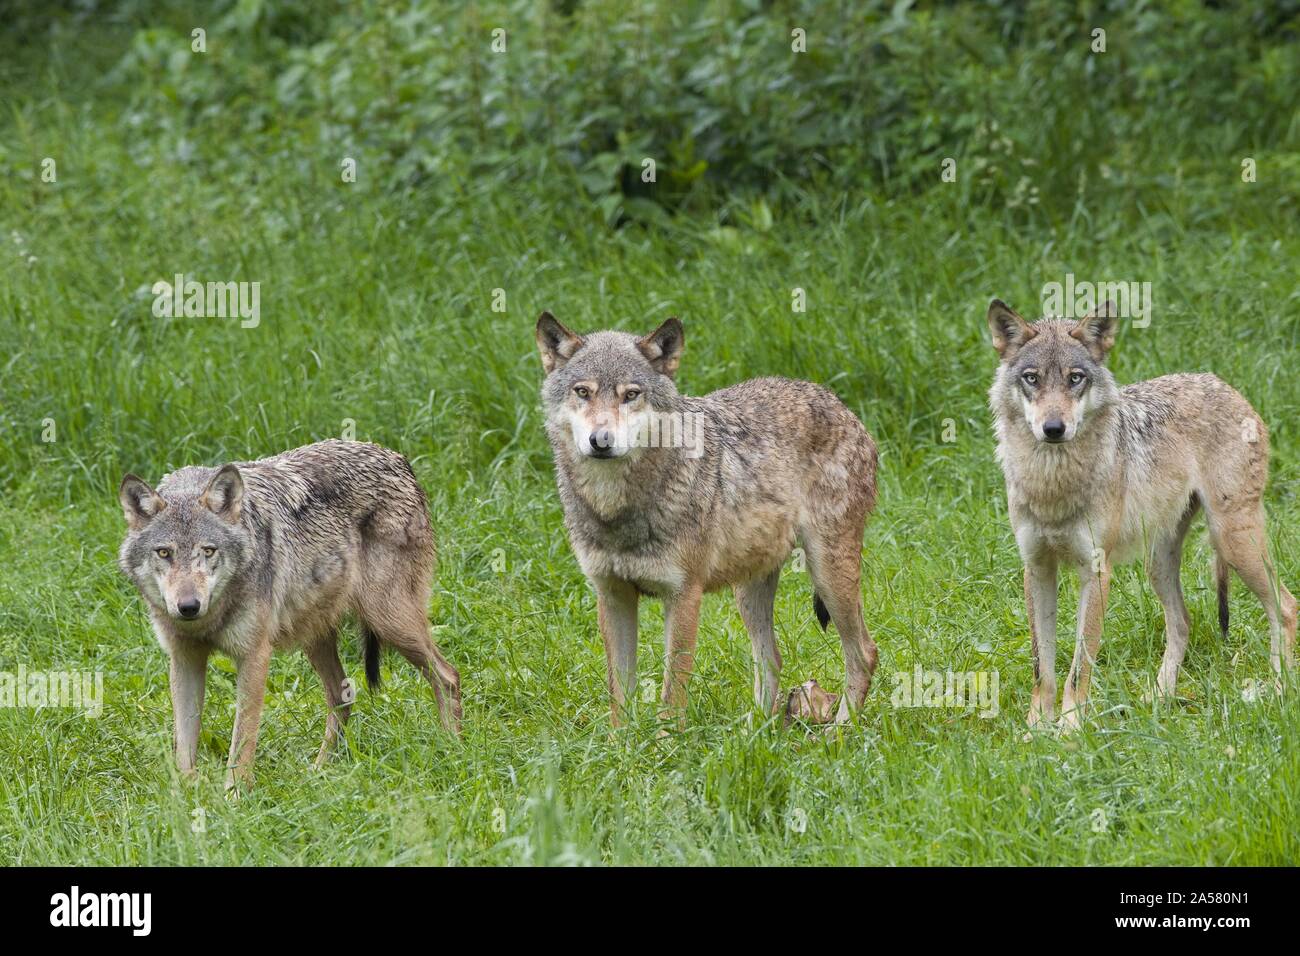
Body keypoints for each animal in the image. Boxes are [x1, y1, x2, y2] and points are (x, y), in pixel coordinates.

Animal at [118, 439, 461, 788]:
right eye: (164, 553)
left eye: (208, 551)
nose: (188, 607)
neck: (210, 618)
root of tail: (398, 458)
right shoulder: (184, 658)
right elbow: (184, 747)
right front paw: (186, 795)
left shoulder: (254, 656)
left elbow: (242, 743)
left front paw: (233, 796)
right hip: (316, 636)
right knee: (343, 696)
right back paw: (319, 773)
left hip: (390, 623)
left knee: (448, 677)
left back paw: (452, 750)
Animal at [536, 312, 879, 728]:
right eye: (582, 392)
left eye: (631, 394)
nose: (601, 440)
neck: (619, 508)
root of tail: (842, 406)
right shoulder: (613, 594)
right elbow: (620, 695)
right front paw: (621, 744)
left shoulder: (684, 595)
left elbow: (672, 694)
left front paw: (666, 743)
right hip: (749, 589)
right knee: (772, 658)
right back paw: (754, 733)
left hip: (828, 574)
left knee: (864, 652)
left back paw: (839, 731)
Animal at [986, 298, 1296, 731]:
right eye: (1032, 379)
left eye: (1075, 379)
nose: (1053, 428)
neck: (1052, 484)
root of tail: (1226, 386)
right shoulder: (1037, 568)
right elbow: (1041, 665)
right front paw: (1035, 729)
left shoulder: (1096, 571)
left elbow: (1079, 666)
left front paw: (1069, 730)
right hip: (1159, 562)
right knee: (1182, 622)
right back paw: (1159, 699)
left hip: (1232, 543)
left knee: (1285, 607)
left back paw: (1280, 692)